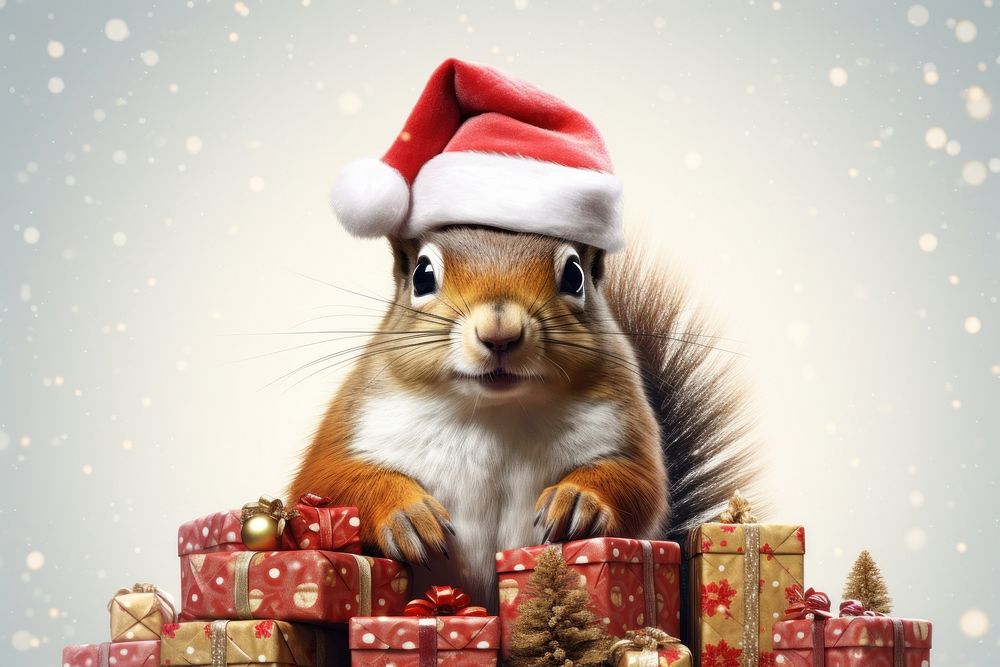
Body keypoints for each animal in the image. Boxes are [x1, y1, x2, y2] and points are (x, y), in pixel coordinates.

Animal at [287, 58, 758, 609]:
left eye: (574, 274)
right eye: (422, 275)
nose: (499, 331)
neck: (497, 413)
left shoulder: (627, 429)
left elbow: (639, 482)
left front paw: (578, 497)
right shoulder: (353, 419)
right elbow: (327, 482)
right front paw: (406, 513)